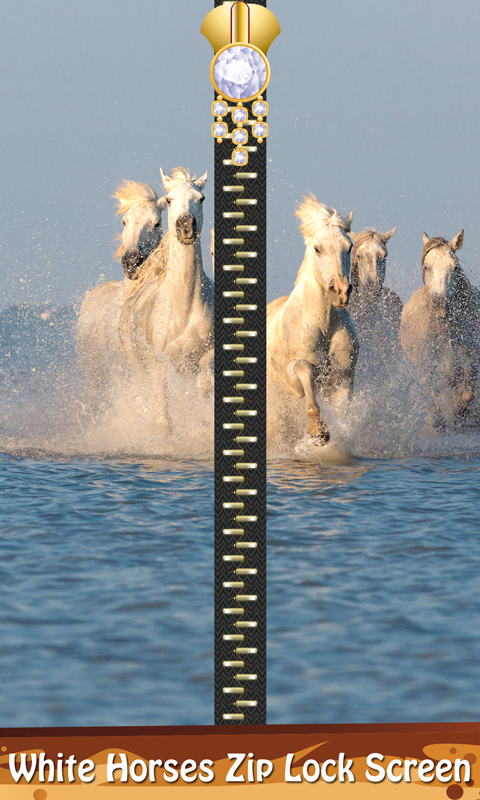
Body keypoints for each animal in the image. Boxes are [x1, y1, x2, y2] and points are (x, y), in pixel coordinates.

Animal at [117, 167, 214, 432]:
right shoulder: (158, 364)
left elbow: (204, 385)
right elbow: (163, 417)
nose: (185, 226)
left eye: (201, 198)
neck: (183, 310)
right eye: (170, 200)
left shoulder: (206, 356)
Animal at [267, 194, 358, 445]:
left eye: (349, 246)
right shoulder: (294, 374)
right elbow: (305, 377)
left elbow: (342, 411)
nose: (341, 291)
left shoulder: (344, 375)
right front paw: (318, 431)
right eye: (318, 248)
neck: (322, 323)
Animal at [400, 230, 480, 430]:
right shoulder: (426, 369)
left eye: (455, 267)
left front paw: (459, 414)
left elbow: (467, 393)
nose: (440, 307)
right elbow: (434, 398)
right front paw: (441, 422)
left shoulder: (471, 363)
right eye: (427, 267)